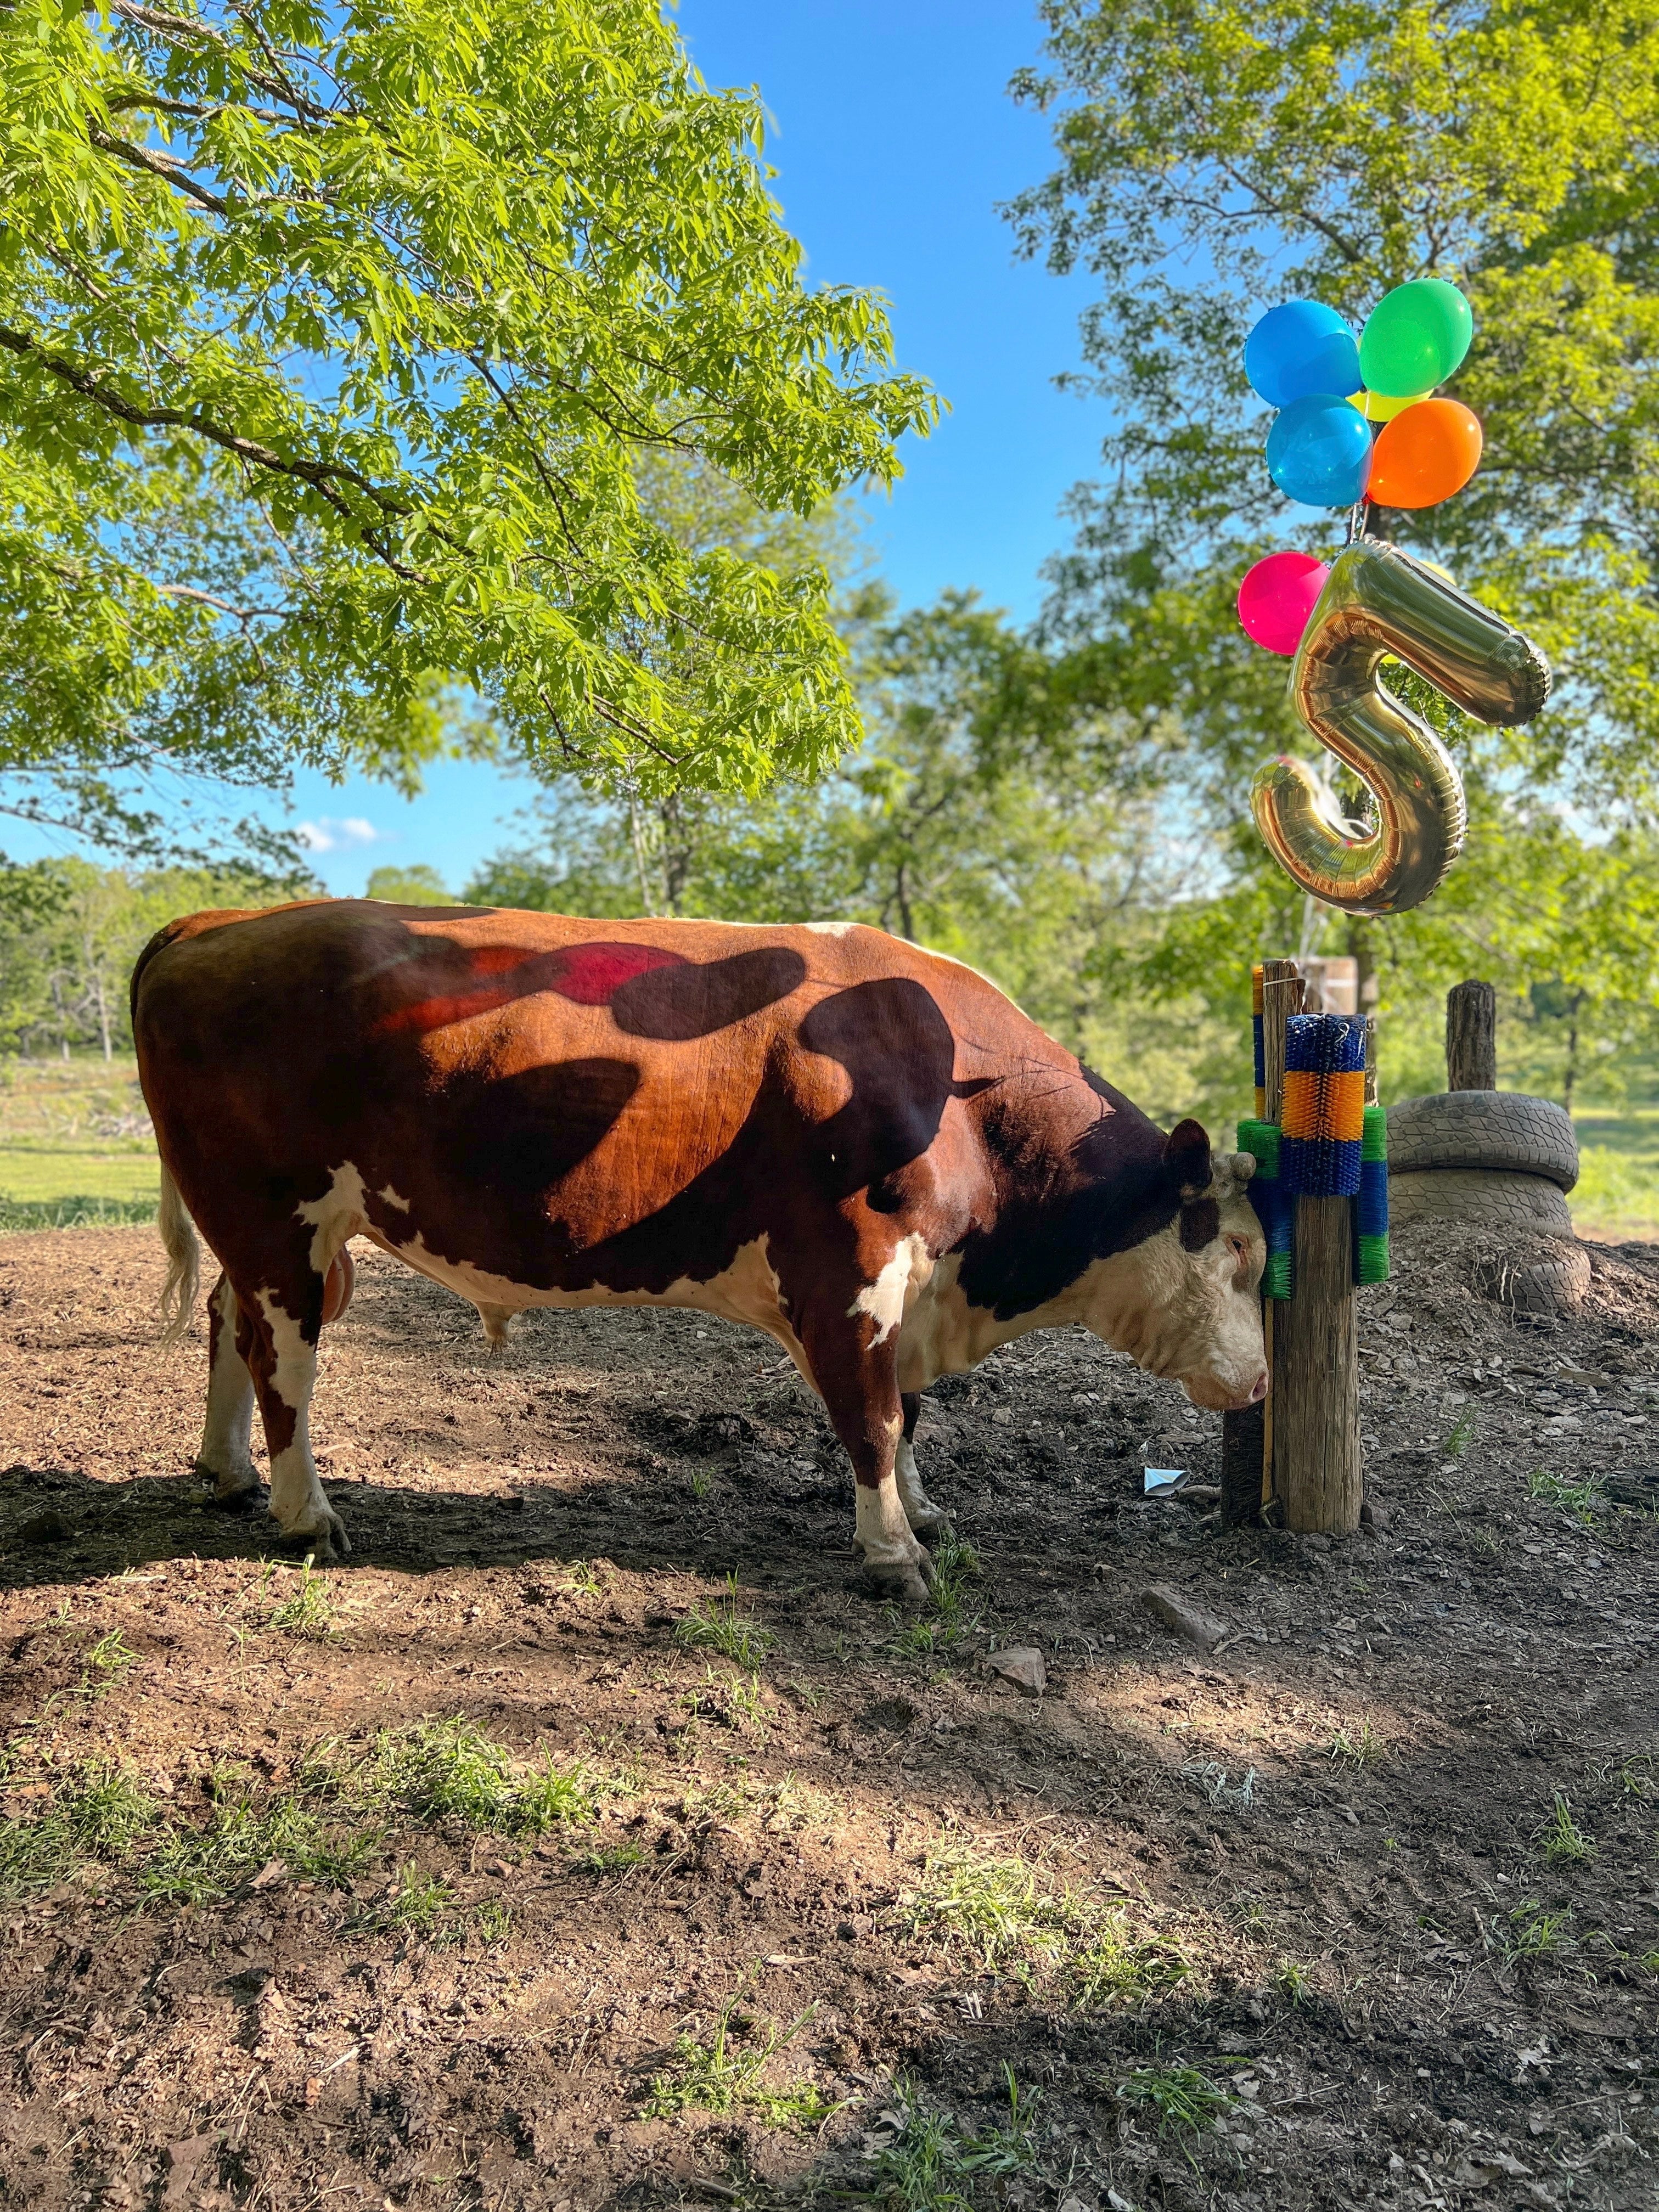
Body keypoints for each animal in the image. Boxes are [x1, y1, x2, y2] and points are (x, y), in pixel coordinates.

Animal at [131, 900, 1268, 1600]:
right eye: (1240, 1254)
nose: (1258, 1384)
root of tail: (225, 918)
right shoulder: (846, 1274)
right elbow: (873, 1420)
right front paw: (891, 1553)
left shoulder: (912, 1289)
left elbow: (911, 1417)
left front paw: (924, 1511)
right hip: (274, 1217)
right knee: (284, 1361)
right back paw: (303, 1513)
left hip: (283, 1234)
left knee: (229, 1323)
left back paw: (230, 1473)